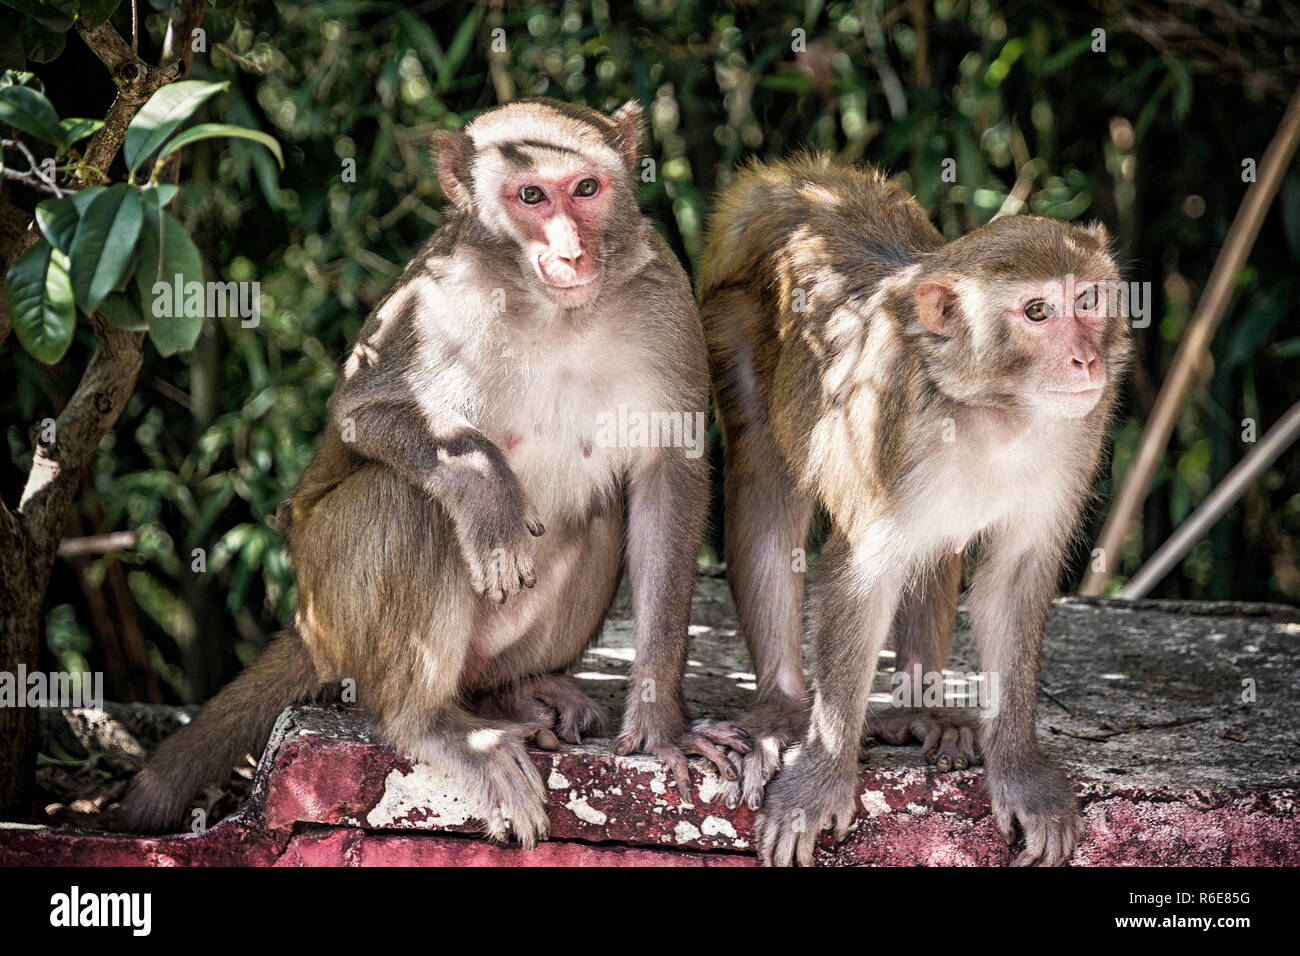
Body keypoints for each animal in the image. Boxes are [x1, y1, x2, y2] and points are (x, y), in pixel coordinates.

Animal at [120, 98, 747, 844]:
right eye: (530, 197)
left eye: (587, 188)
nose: (570, 251)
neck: (549, 310)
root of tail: (307, 624)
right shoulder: (434, 298)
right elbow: (360, 412)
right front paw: (484, 486)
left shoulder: (664, 297)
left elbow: (665, 478)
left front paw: (662, 728)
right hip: (334, 600)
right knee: (409, 499)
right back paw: (434, 724)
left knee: (599, 513)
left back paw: (512, 693)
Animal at [697, 154, 1131, 866]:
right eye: (1038, 311)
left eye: (1088, 301)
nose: (1086, 358)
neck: (994, 409)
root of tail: (798, 183)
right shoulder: (890, 426)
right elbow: (862, 576)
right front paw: (821, 776)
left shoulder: (1076, 435)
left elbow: (1011, 582)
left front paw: (1019, 768)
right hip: (731, 323)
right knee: (766, 488)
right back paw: (782, 706)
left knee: (937, 543)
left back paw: (922, 711)